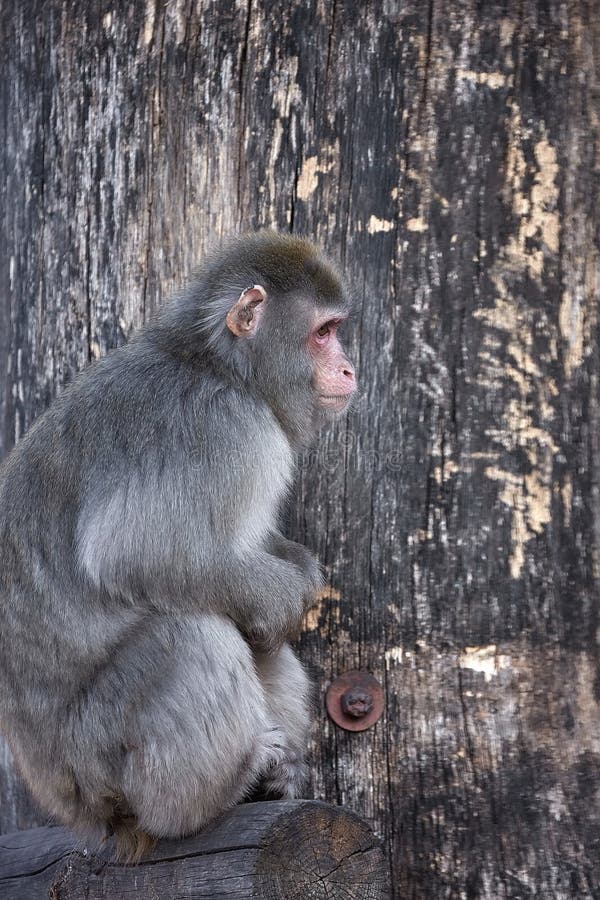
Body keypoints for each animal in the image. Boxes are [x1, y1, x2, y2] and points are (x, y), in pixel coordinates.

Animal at [0, 231, 357, 861]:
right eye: (323, 332)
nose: (348, 367)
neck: (217, 363)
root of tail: (82, 816)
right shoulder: (227, 427)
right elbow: (139, 553)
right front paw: (290, 597)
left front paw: (300, 569)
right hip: (97, 763)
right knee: (191, 635)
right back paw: (216, 793)